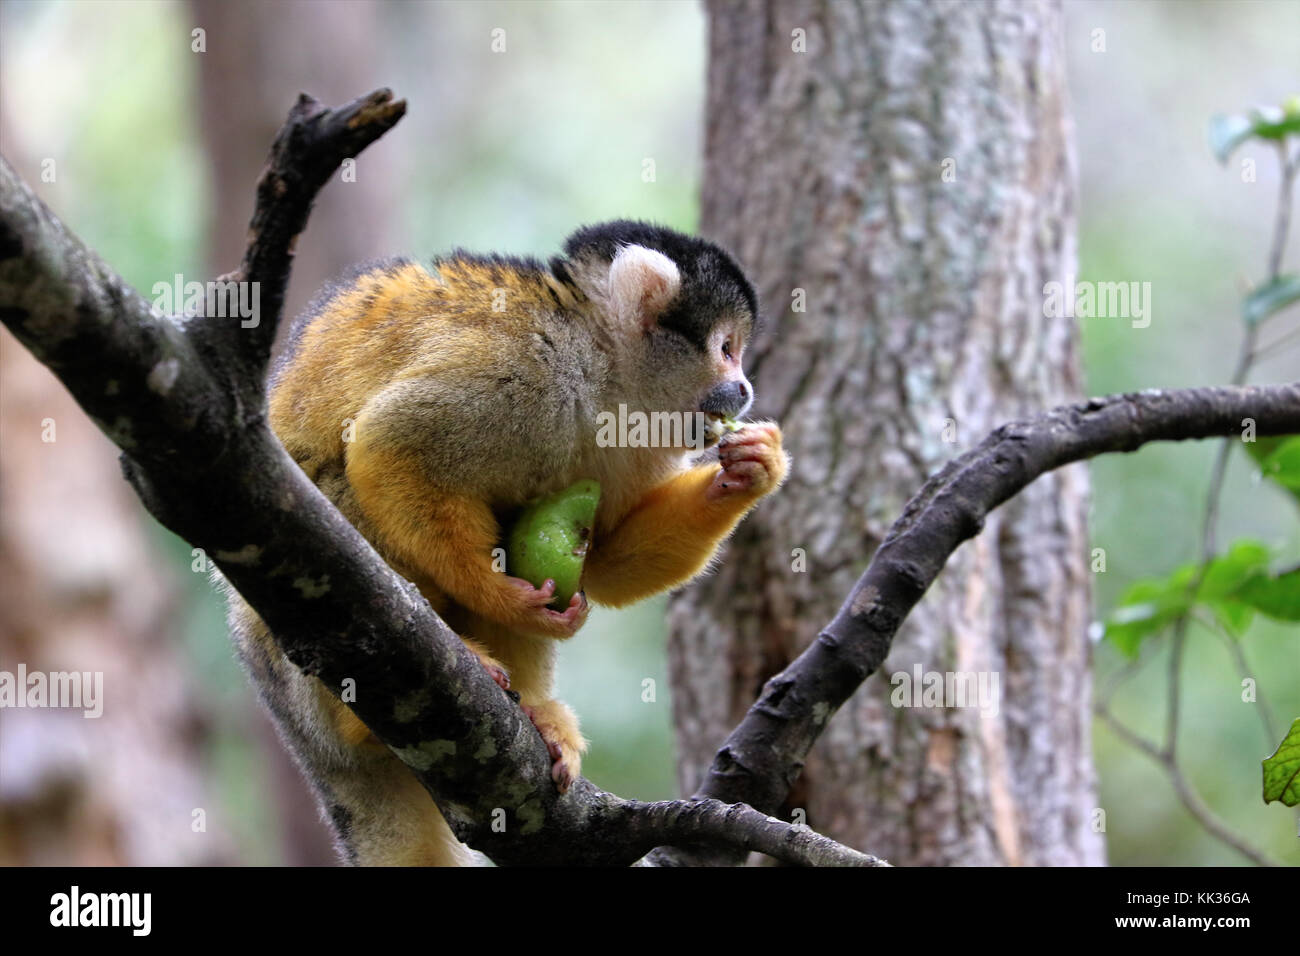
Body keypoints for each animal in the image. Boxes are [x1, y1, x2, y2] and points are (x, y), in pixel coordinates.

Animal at [223, 220, 788, 865]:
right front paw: (503, 597)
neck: (603, 375)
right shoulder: (520, 369)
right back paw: (376, 707)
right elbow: (391, 444)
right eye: (727, 348)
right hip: (298, 679)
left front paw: (749, 472)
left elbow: (603, 563)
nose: (743, 388)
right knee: (345, 483)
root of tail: (305, 740)